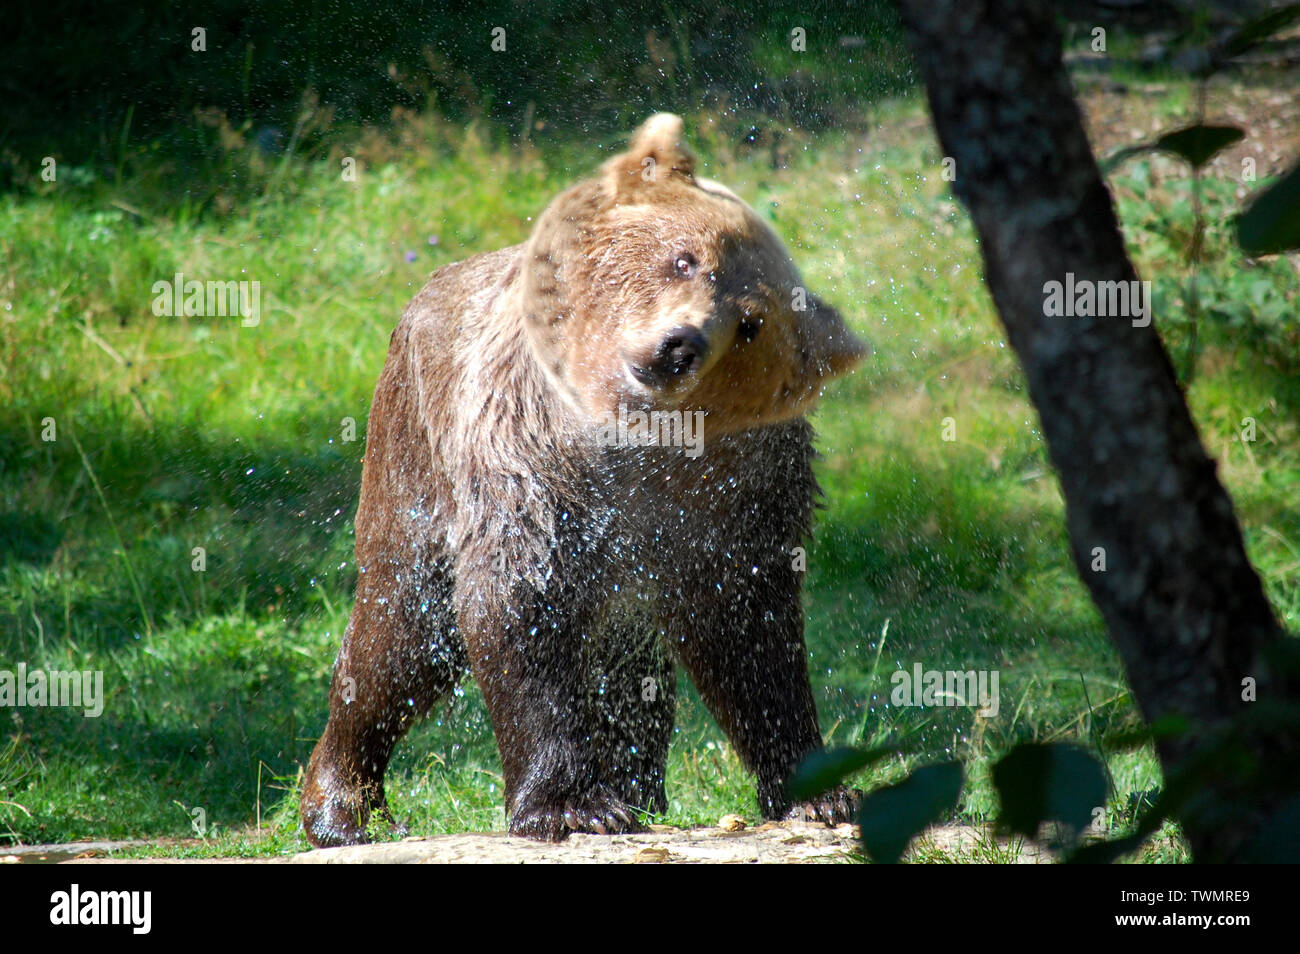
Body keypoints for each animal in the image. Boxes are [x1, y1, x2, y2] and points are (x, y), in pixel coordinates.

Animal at [300, 113, 868, 845]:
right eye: (684, 259)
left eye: (750, 324)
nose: (678, 345)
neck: (640, 447)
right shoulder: (530, 461)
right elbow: (519, 601)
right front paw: (572, 805)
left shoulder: (739, 495)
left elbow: (752, 635)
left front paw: (820, 793)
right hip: (415, 458)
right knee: (400, 634)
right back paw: (343, 807)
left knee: (624, 666)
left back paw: (637, 787)